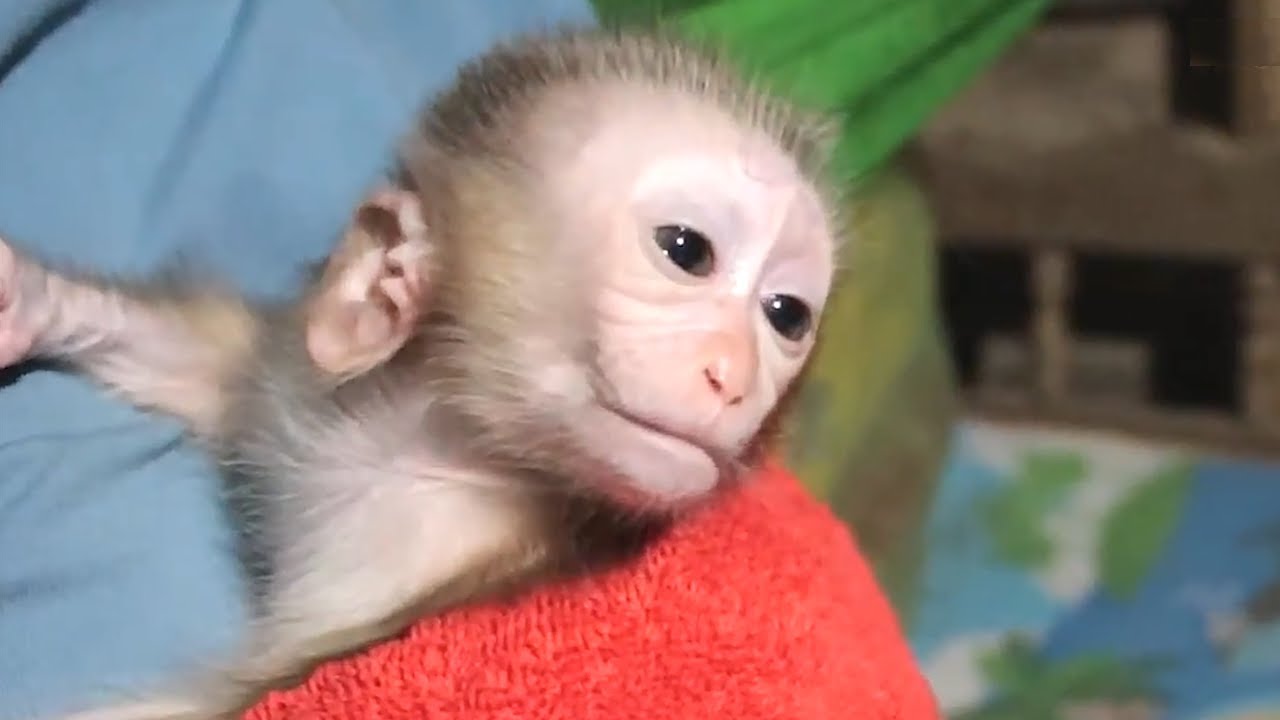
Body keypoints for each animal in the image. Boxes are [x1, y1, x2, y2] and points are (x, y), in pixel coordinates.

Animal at [0, 26, 845, 720]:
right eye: (685, 250)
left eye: (783, 315)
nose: (733, 376)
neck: (439, 446)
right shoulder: (304, 386)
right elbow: (218, 364)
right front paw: (30, 299)